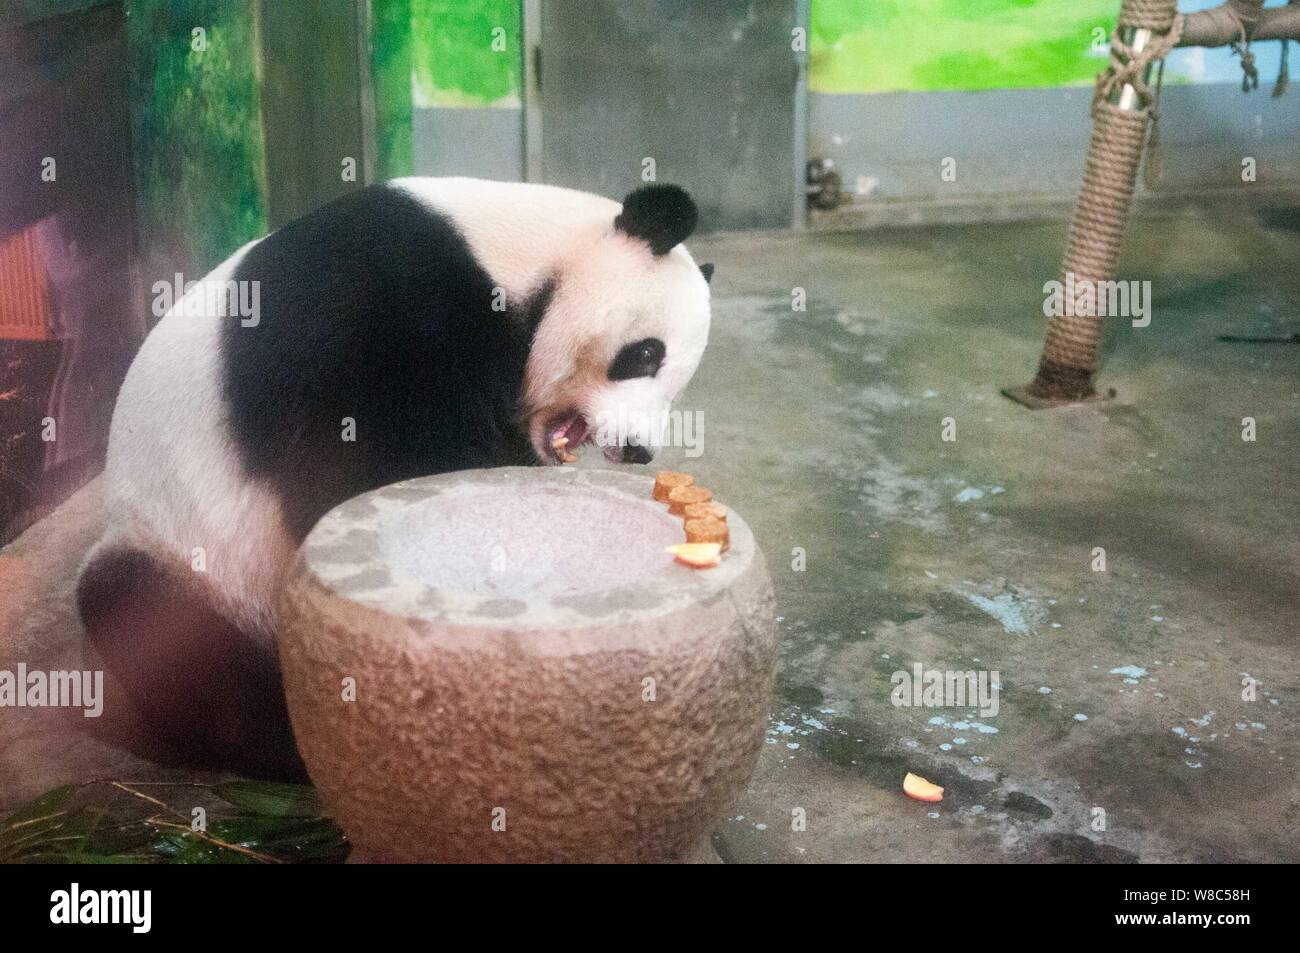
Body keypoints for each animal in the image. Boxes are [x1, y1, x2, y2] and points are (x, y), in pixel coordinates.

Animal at [76, 177, 713, 779]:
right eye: (645, 354)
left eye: (677, 385)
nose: (637, 449)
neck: (511, 256)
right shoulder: (367, 296)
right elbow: (366, 457)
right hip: (183, 555)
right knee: (159, 628)